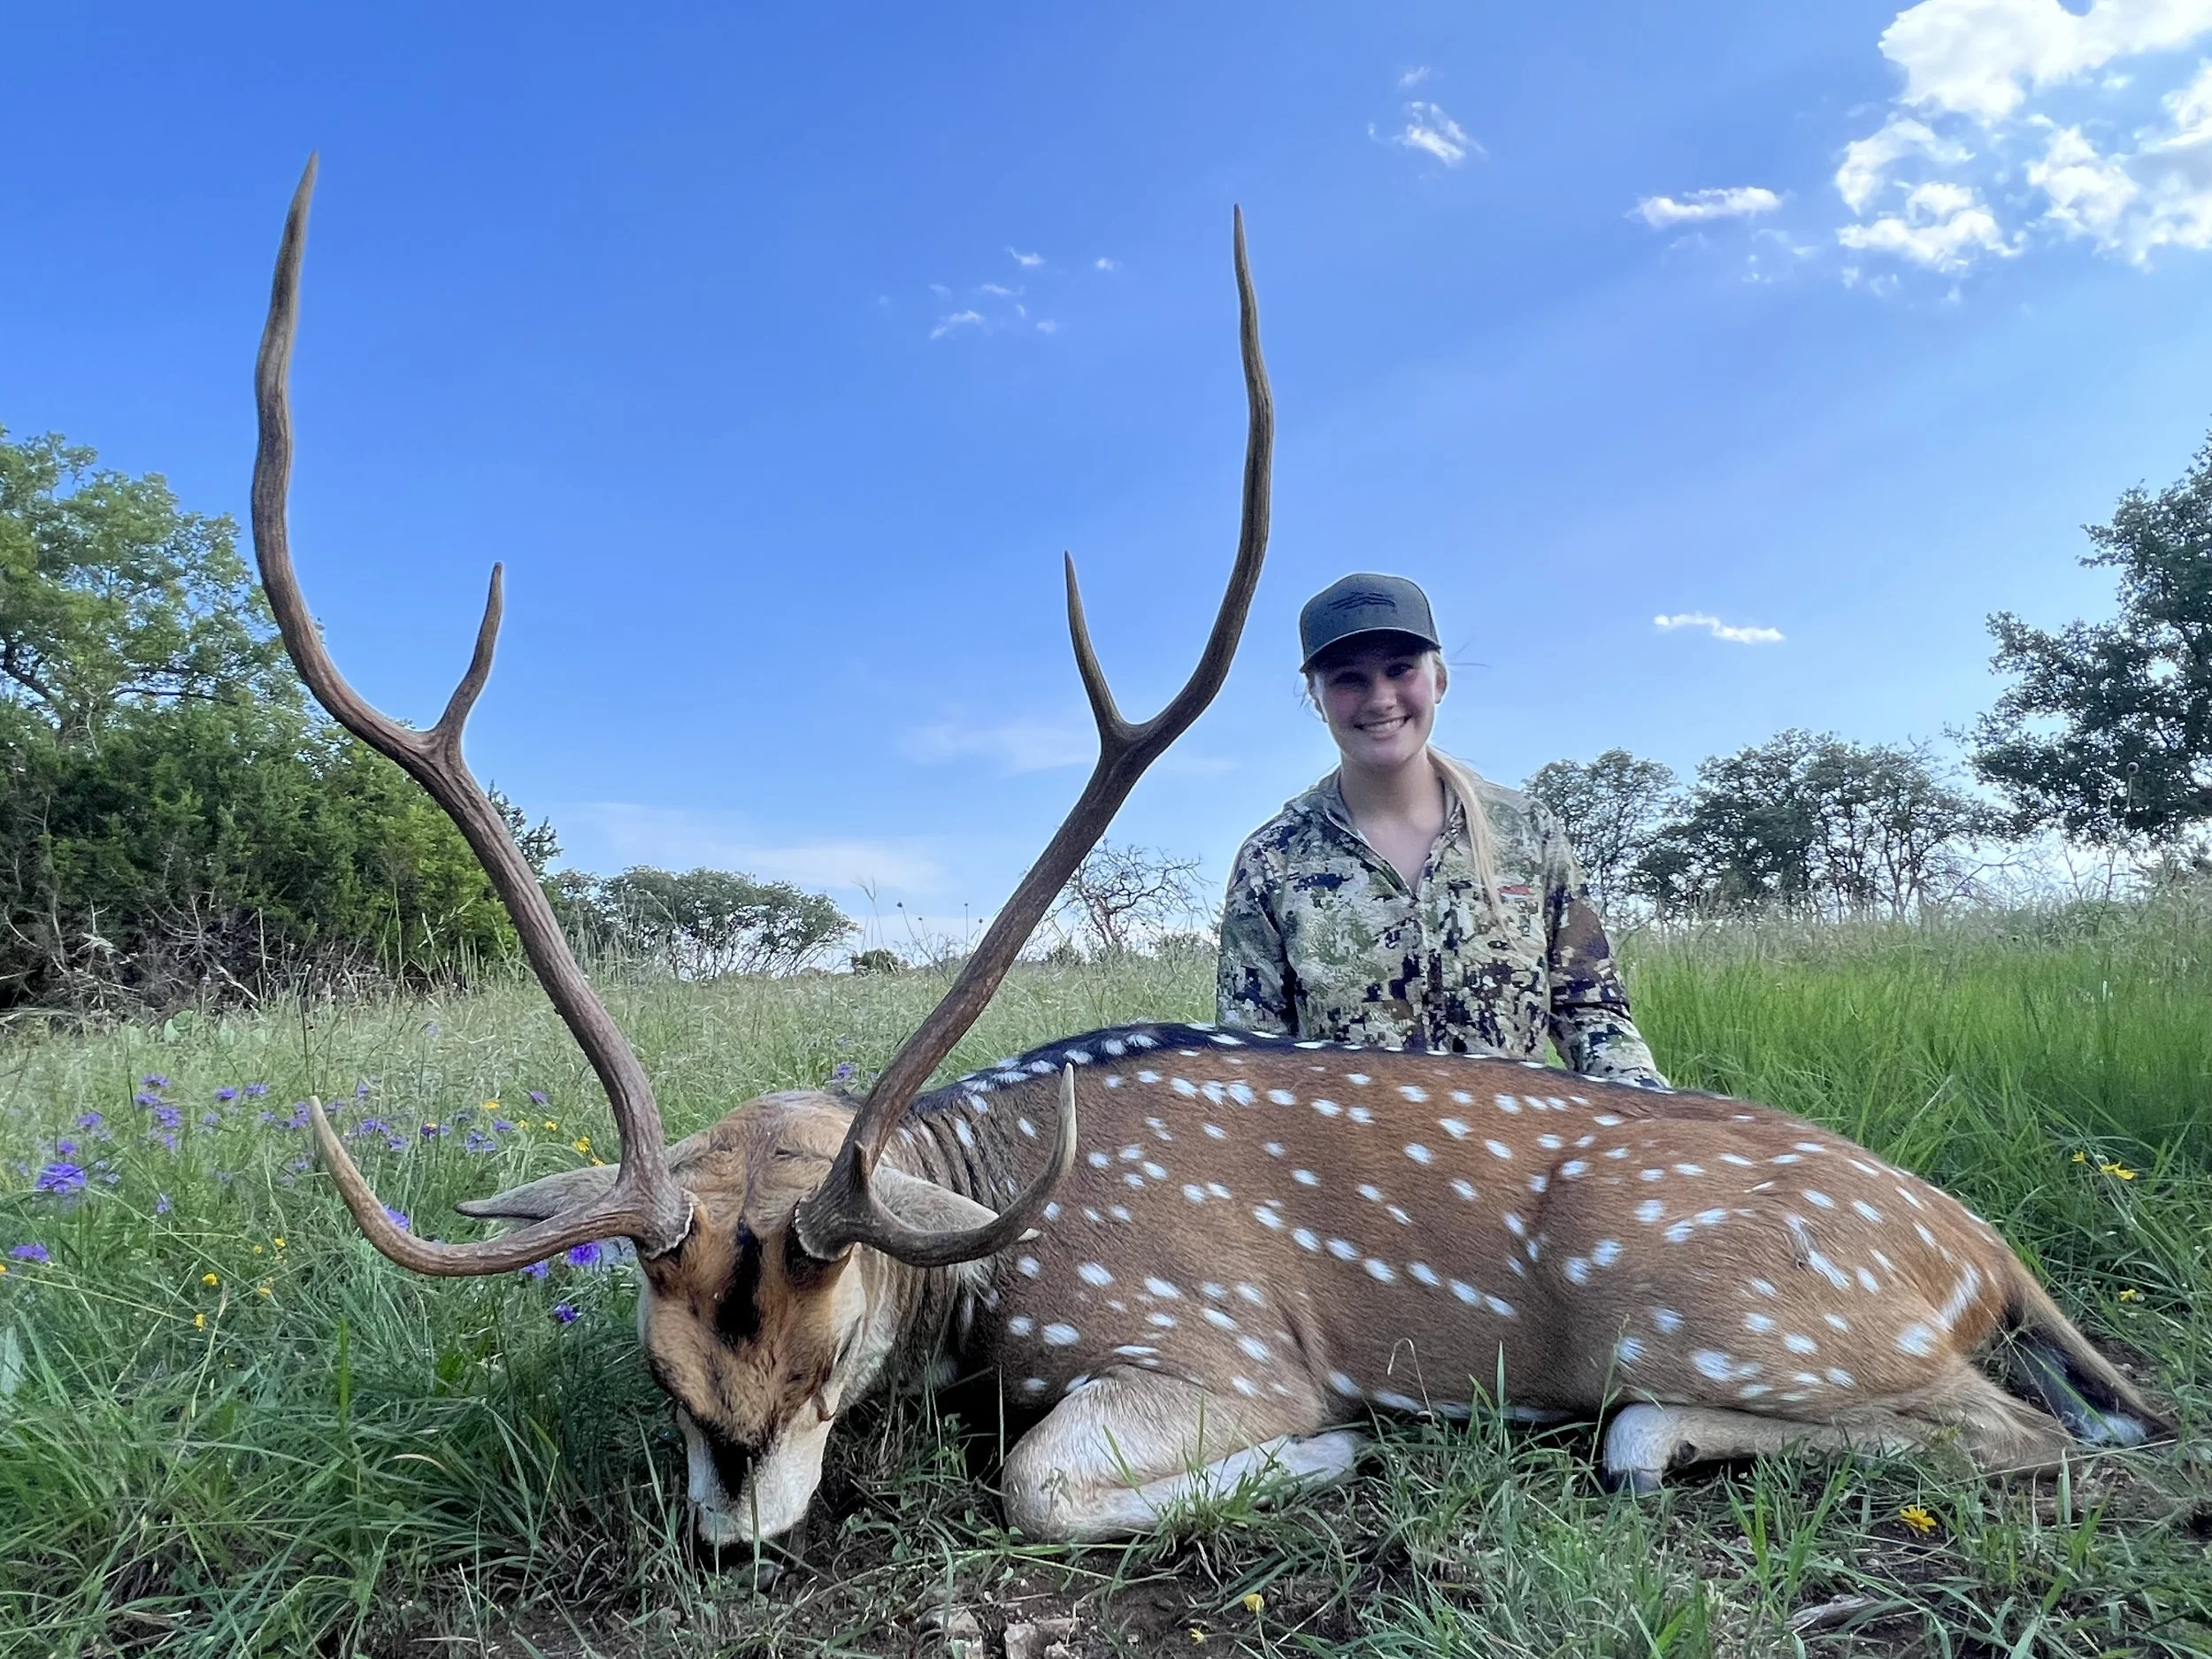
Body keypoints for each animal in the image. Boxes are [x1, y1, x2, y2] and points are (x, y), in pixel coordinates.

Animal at [254, 159, 2160, 1551]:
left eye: (830, 1335)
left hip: (1729, 1306)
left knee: (2018, 1435)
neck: (996, 1248)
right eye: (663, 1373)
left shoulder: (1217, 1337)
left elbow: (1043, 1481)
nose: (739, 1528)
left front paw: (1332, 1459)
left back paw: (1629, 1426)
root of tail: (1983, 1244)